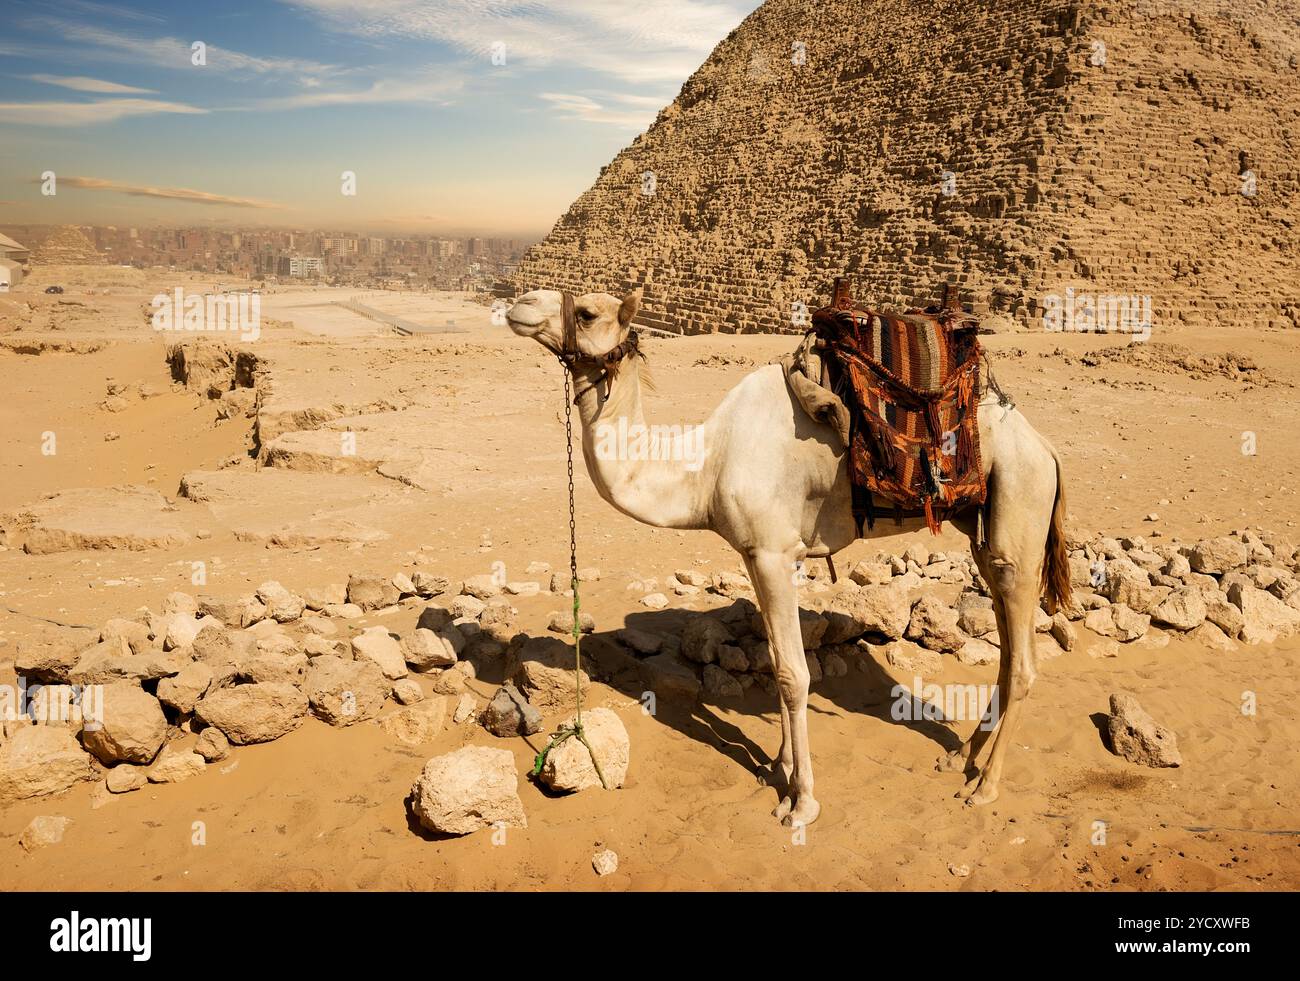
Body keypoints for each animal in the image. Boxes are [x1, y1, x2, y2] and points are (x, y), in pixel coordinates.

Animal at [507, 287, 1070, 827]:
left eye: (586, 313)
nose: (519, 304)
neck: (704, 467)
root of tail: (1047, 449)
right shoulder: (755, 554)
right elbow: (778, 662)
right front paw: (778, 766)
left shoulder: (775, 553)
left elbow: (793, 675)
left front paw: (801, 801)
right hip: (980, 528)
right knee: (1006, 648)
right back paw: (961, 758)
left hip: (1020, 503)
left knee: (1023, 661)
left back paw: (985, 786)